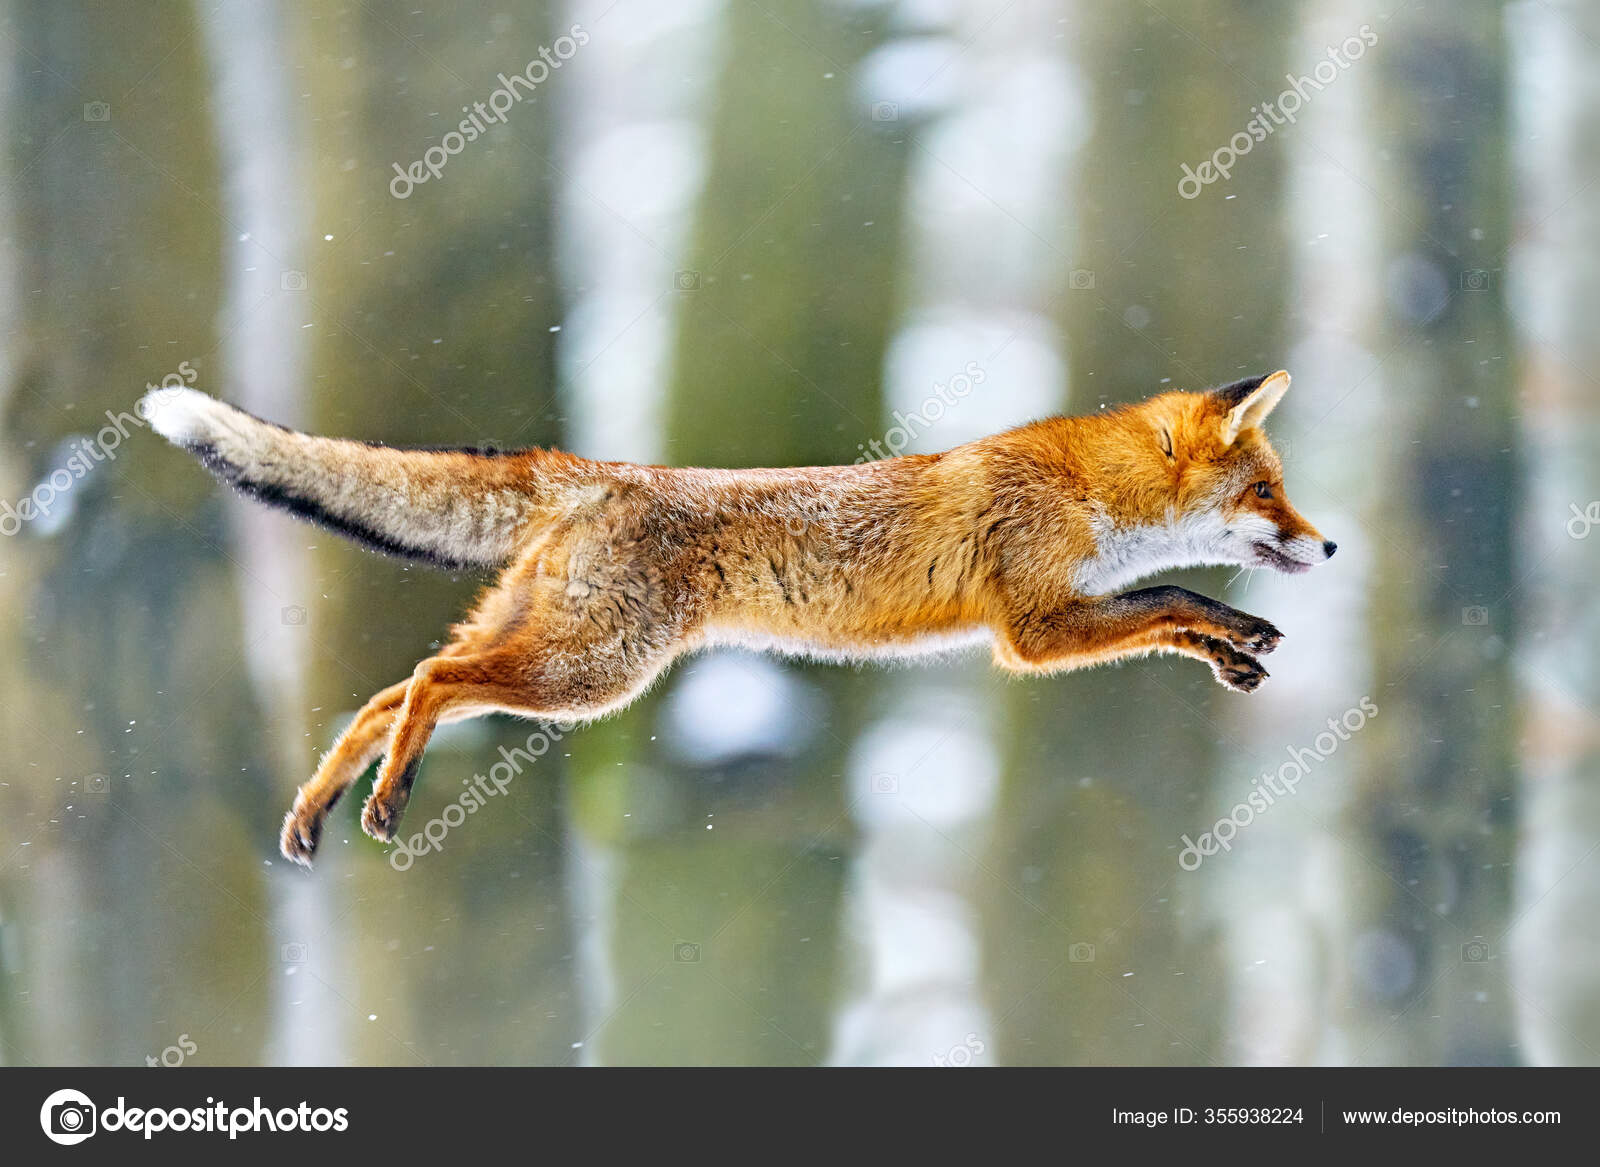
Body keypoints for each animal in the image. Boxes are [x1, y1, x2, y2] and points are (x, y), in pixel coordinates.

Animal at [142, 368, 1333, 867]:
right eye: (1269, 492)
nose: (1328, 548)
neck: (1089, 493)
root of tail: (595, 471)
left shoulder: (1060, 616)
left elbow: (1171, 608)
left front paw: (1238, 654)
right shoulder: (1031, 631)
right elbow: (1173, 595)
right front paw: (1236, 633)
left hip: (548, 651)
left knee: (388, 693)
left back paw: (319, 808)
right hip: (589, 675)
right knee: (428, 685)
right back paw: (385, 799)